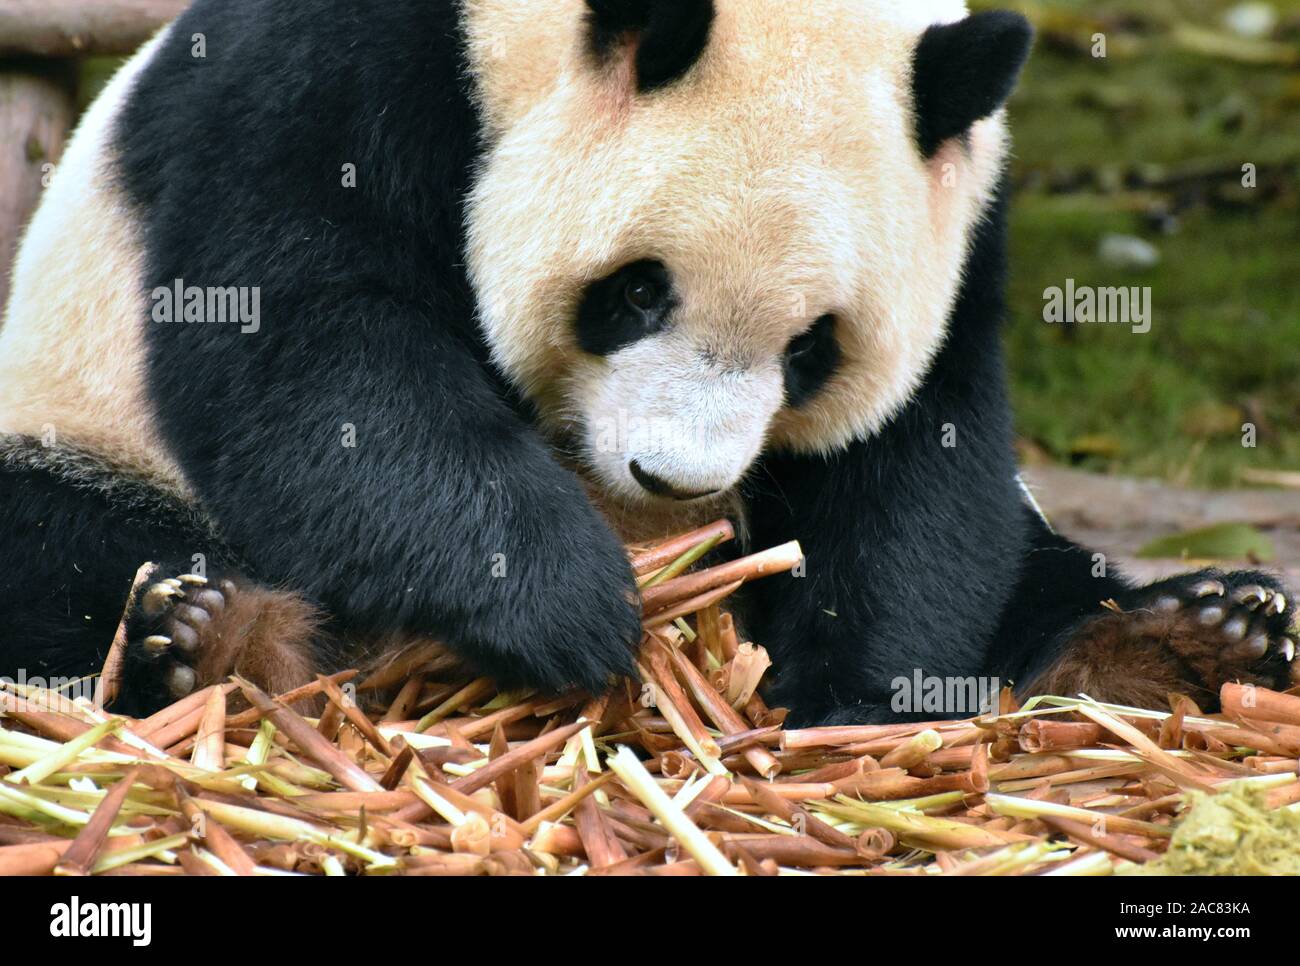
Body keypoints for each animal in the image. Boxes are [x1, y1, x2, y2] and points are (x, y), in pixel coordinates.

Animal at [0, 0, 1295, 724]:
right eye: (635, 292)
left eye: (813, 345)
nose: (675, 487)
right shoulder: (325, 81)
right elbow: (314, 348)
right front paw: (564, 606)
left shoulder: (965, 203)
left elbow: (919, 453)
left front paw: (853, 690)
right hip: (81, 427)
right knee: (62, 551)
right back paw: (208, 638)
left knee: (1041, 567)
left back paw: (1193, 634)